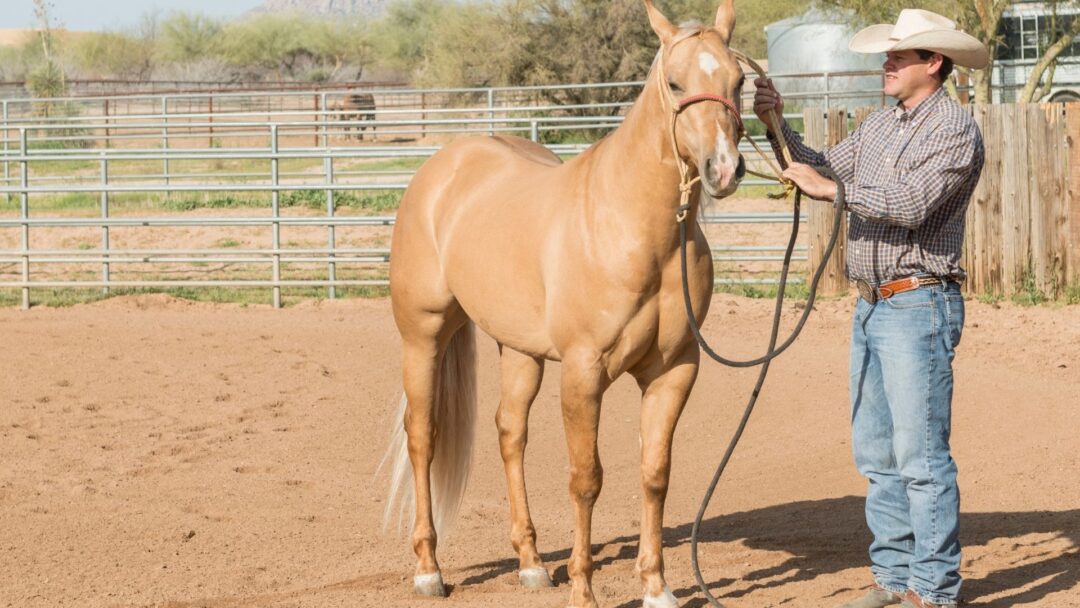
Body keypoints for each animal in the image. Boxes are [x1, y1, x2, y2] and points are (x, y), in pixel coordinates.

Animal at [381, 1, 746, 606]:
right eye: (675, 83)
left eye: (740, 82)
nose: (724, 168)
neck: (636, 228)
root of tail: (443, 166)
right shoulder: (583, 371)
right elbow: (586, 479)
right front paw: (584, 589)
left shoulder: (674, 370)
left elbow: (655, 474)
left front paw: (656, 587)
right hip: (423, 335)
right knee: (423, 436)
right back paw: (429, 571)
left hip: (519, 349)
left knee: (510, 433)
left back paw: (531, 564)